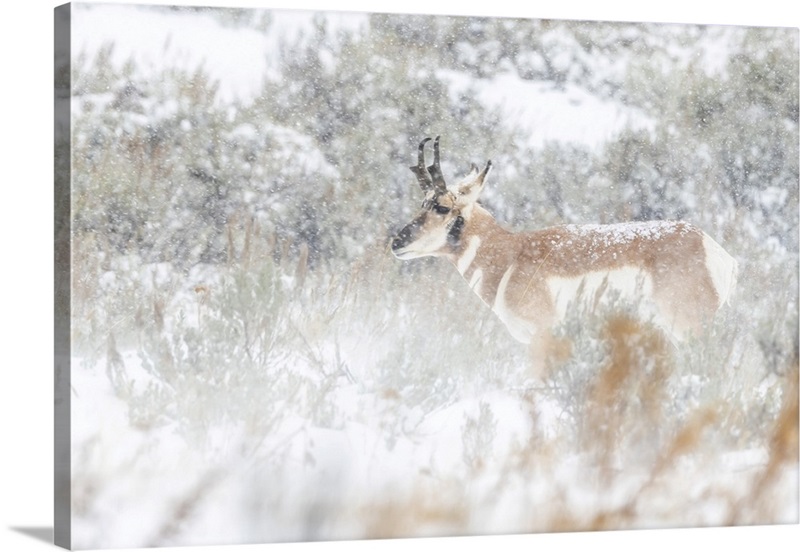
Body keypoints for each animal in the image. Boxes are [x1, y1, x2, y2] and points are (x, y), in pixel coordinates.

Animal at [391, 137, 737, 370]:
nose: (396, 242)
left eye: (441, 206)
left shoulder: (542, 338)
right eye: (421, 202)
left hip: (687, 327)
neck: (511, 255)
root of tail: (711, 247)